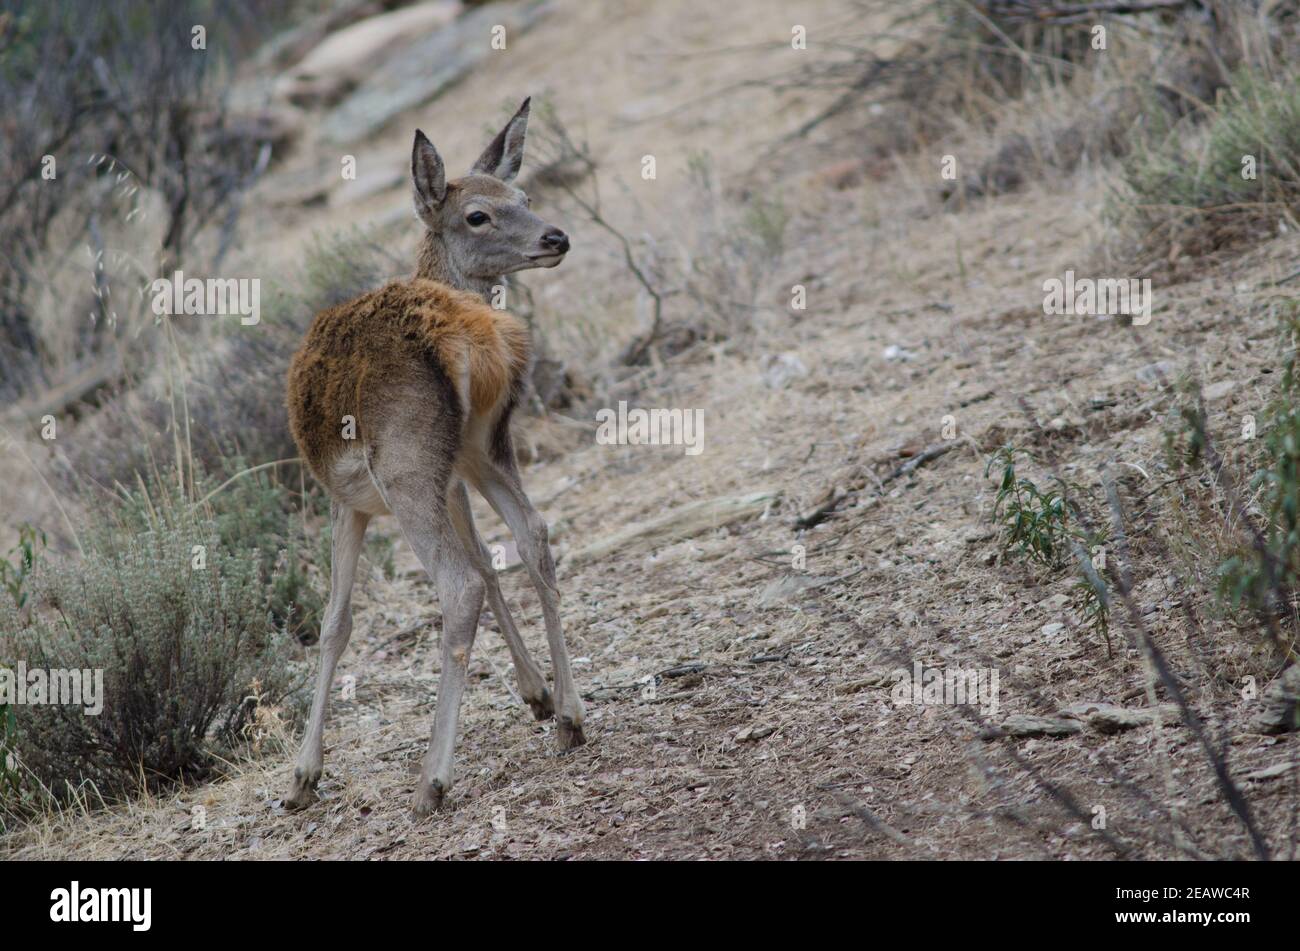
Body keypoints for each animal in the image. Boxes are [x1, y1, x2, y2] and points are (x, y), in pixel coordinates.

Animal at [283, 98, 584, 818]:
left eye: (523, 196)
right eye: (480, 212)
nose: (555, 237)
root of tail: (471, 334)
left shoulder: (346, 499)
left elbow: (336, 621)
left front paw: (304, 774)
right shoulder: (456, 476)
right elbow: (494, 562)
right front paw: (536, 693)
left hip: (404, 467)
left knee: (458, 581)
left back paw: (432, 779)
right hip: (484, 445)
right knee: (533, 534)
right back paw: (572, 717)